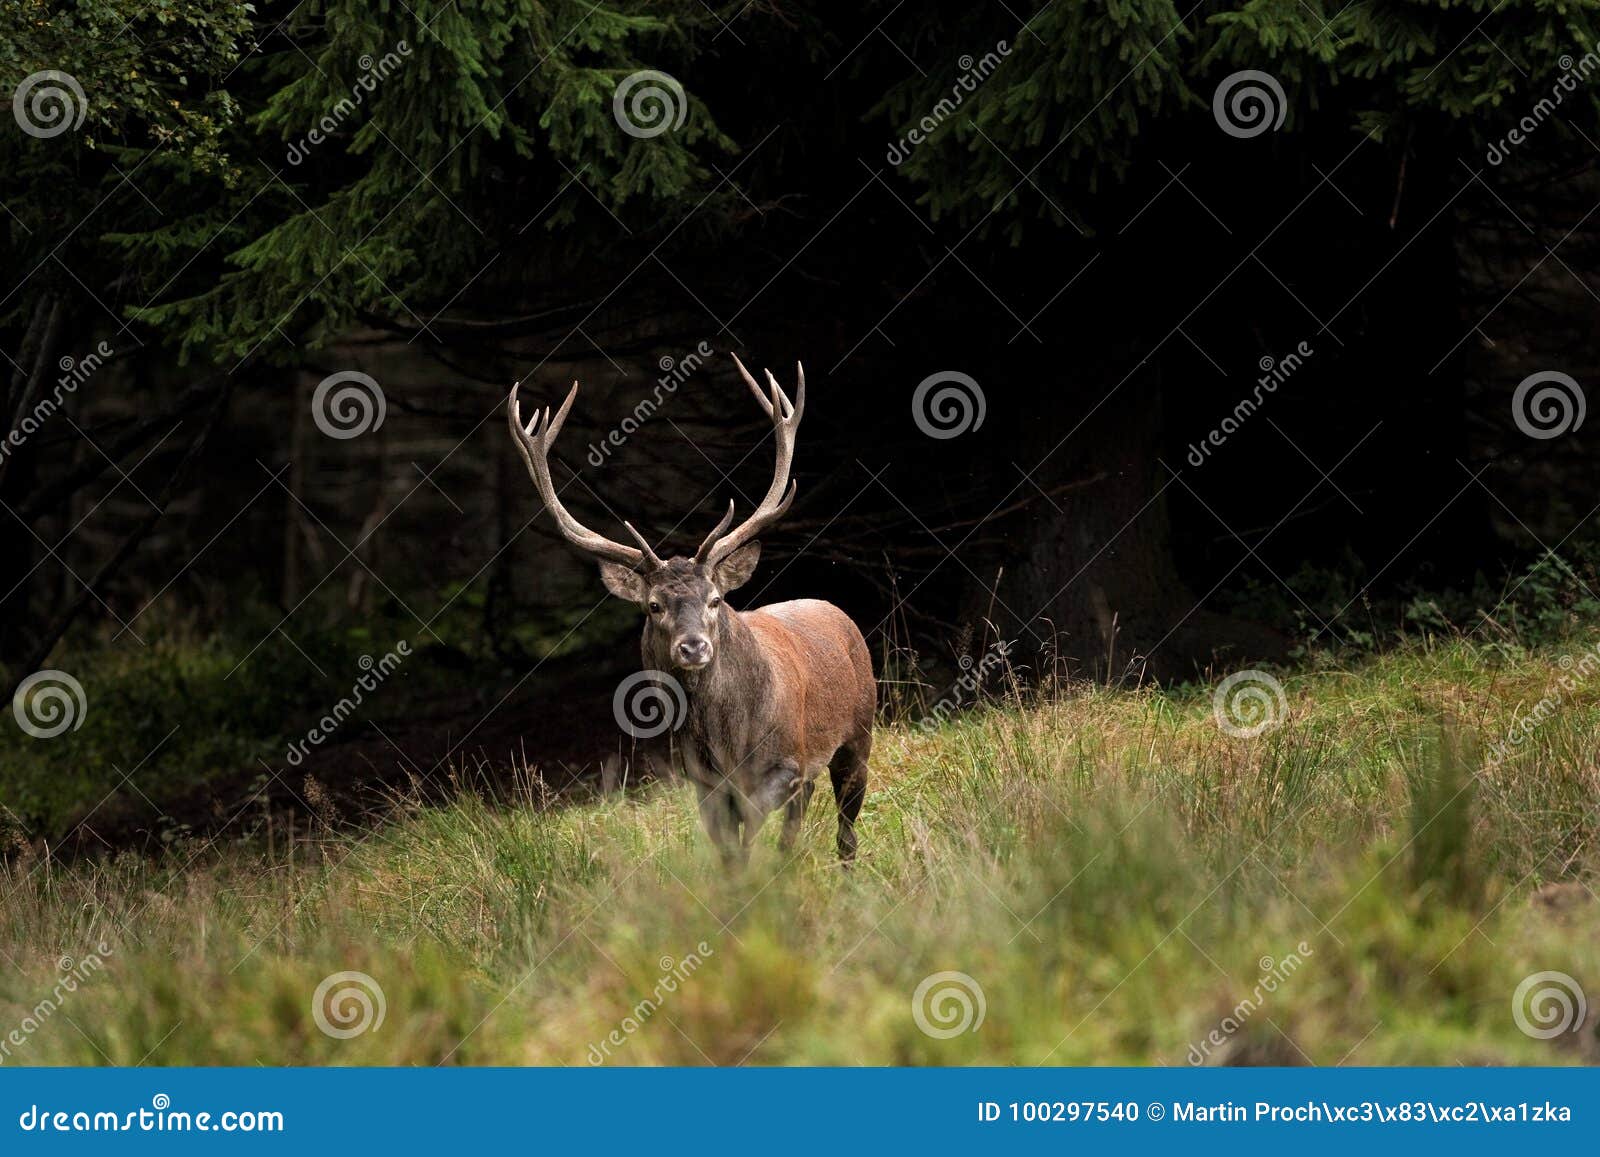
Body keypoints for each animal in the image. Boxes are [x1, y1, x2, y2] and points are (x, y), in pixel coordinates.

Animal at [507, 355, 875, 866]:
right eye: (653, 606)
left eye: (716, 599)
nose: (694, 646)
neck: (728, 742)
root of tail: (839, 614)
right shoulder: (702, 783)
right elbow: (731, 854)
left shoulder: (787, 761)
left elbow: (756, 832)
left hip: (860, 732)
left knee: (845, 826)